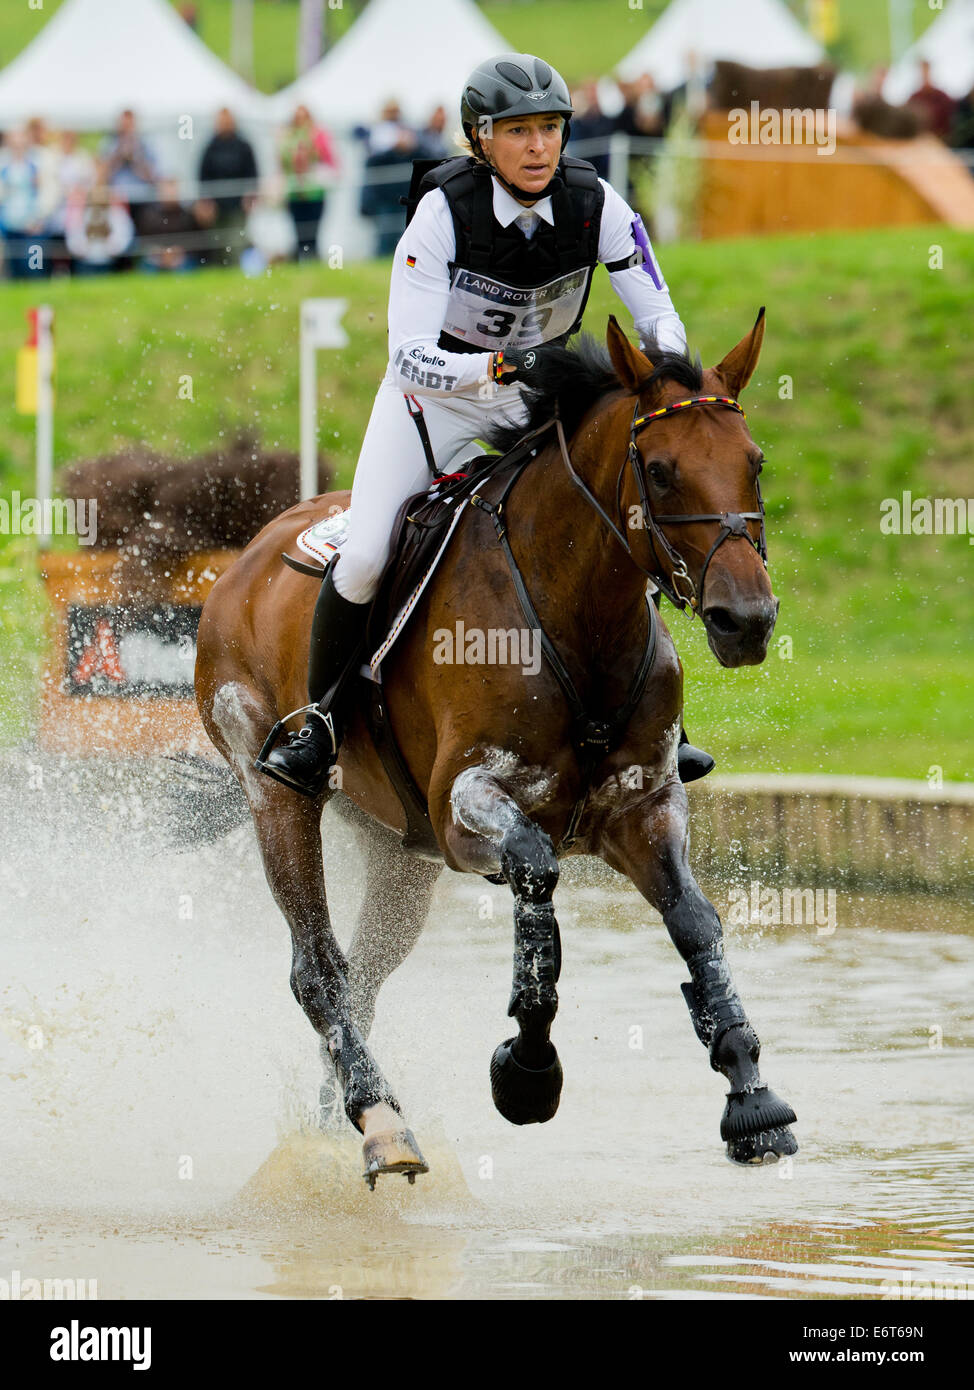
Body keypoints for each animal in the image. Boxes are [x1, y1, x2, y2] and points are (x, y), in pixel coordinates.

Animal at [194, 312, 798, 1188]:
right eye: (659, 471)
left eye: (753, 463)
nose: (744, 620)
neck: (576, 616)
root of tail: (243, 559)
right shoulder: (466, 809)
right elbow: (539, 891)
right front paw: (528, 1072)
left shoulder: (643, 808)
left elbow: (695, 924)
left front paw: (751, 1095)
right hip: (276, 792)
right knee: (319, 969)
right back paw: (381, 1123)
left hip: (397, 845)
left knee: (366, 971)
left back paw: (341, 1114)